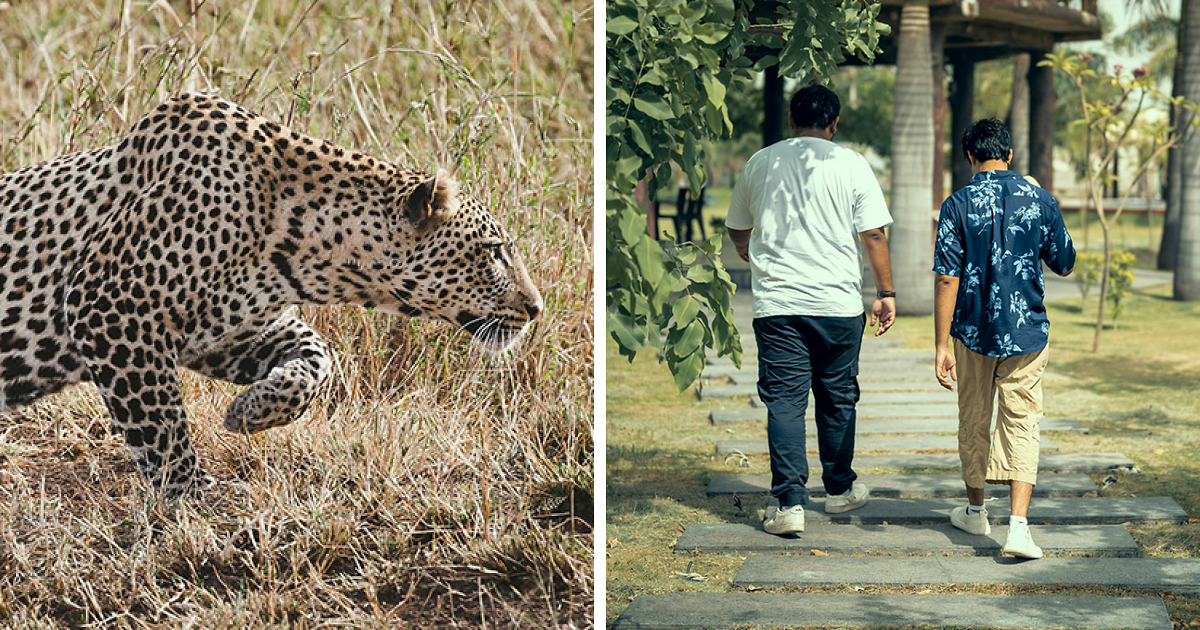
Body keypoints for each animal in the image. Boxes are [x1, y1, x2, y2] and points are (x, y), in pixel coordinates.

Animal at [0, 92, 543, 497]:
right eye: (494, 252)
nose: (536, 308)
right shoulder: (109, 306)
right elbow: (161, 424)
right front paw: (195, 496)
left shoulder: (229, 332)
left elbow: (319, 358)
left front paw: (250, 412)